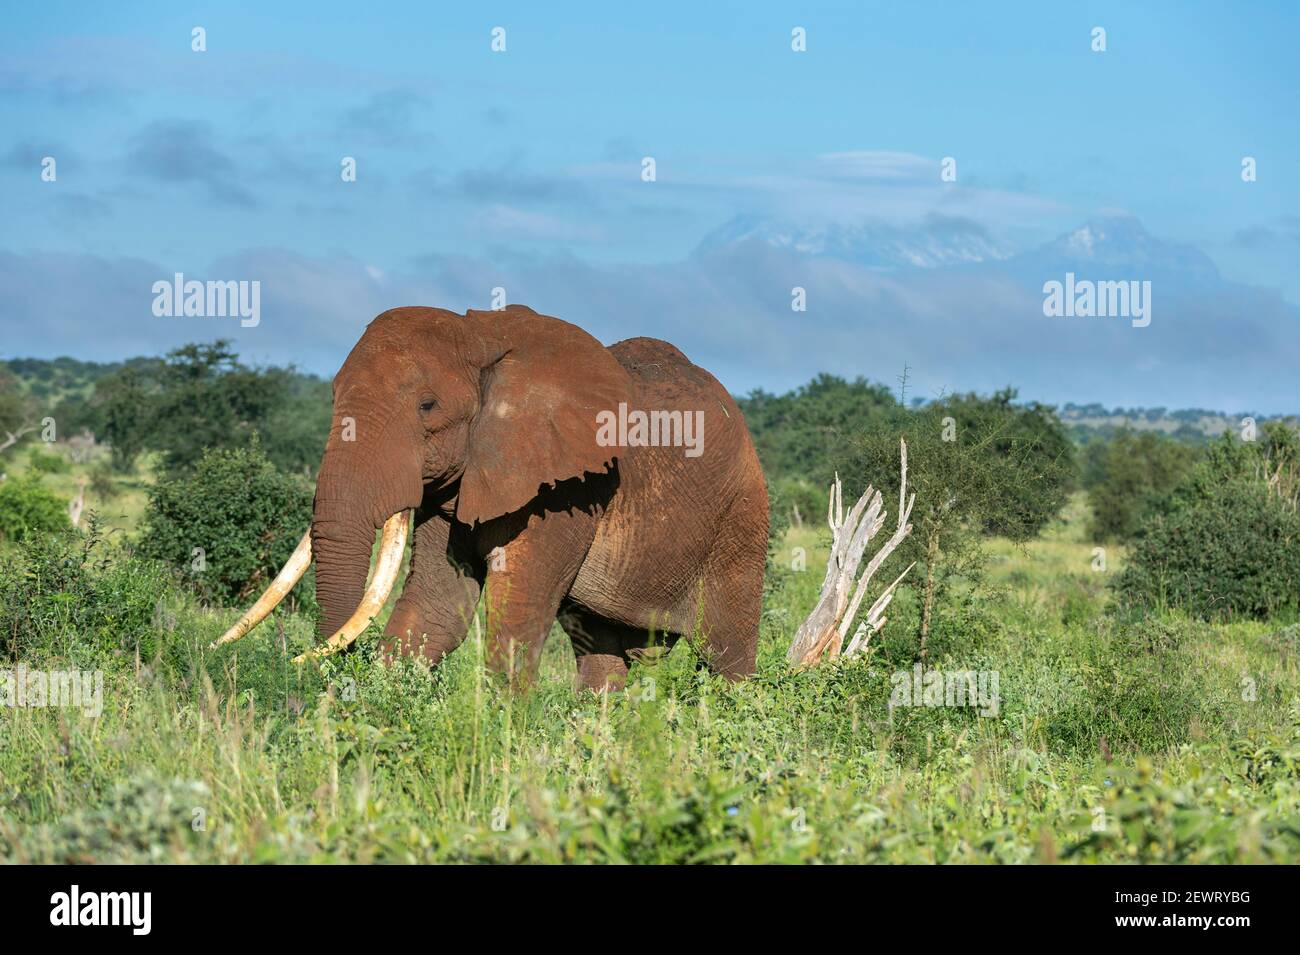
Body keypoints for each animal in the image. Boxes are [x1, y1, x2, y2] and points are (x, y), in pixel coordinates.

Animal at [216, 305, 769, 690]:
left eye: (427, 406)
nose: (304, 666)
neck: (480, 336)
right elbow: (437, 609)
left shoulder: (567, 488)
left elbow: (517, 615)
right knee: (602, 656)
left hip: (741, 518)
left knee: (726, 653)